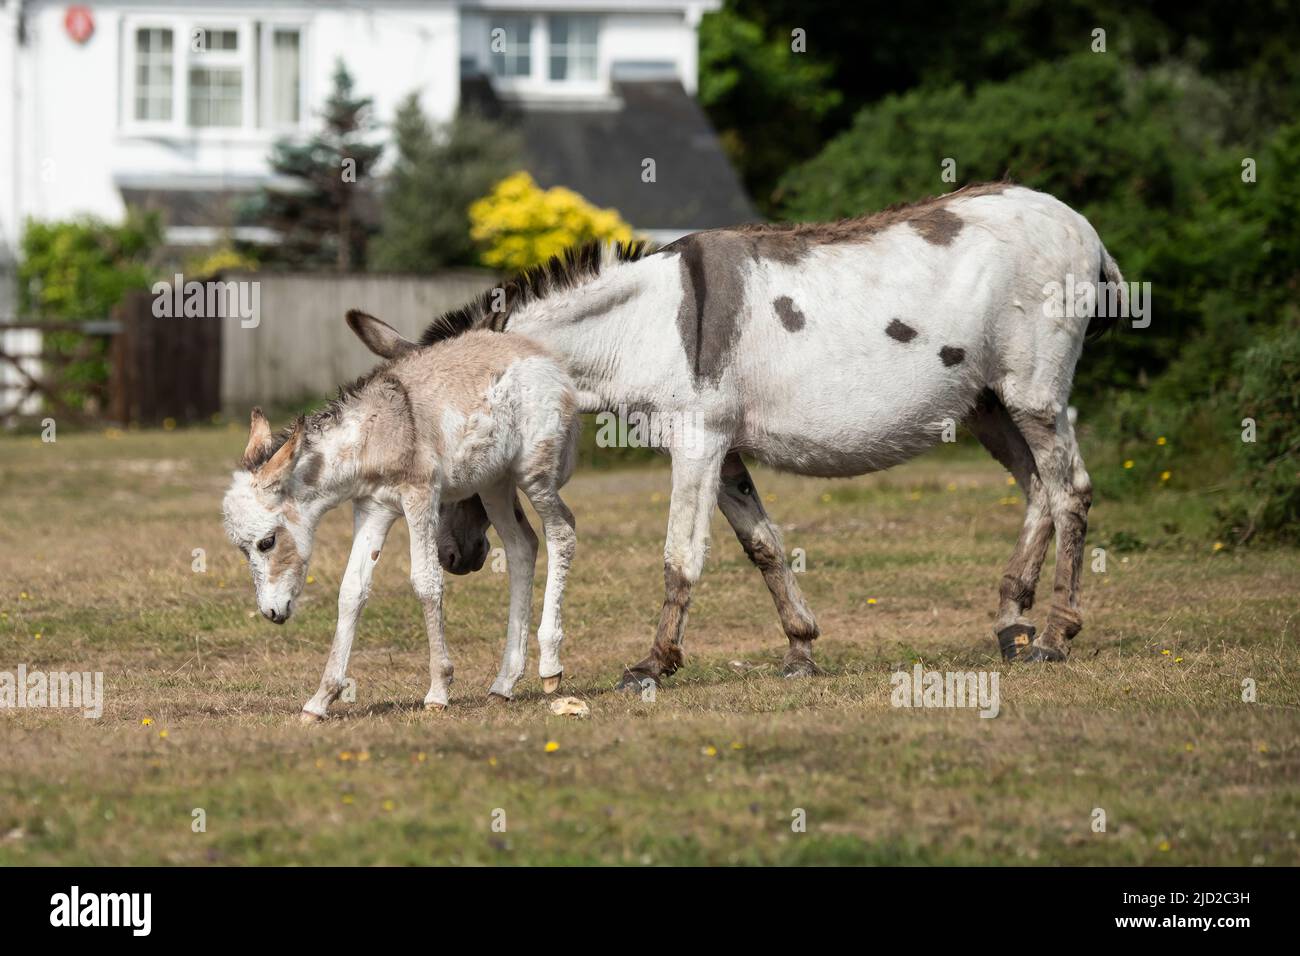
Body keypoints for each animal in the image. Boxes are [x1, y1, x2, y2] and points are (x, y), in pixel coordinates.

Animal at [220, 310, 577, 723]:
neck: (374, 435)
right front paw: (320, 700)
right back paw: (504, 683)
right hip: (494, 484)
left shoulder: (419, 496)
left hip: (534, 474)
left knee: (562, 532)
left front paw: (438, 690)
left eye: (267, 542)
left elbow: (426, 583)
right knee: (522, 547)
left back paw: (550, 666)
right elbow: (351, 592)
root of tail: (540, 352)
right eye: (243, 549)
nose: (271, 612)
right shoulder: (373, 509)